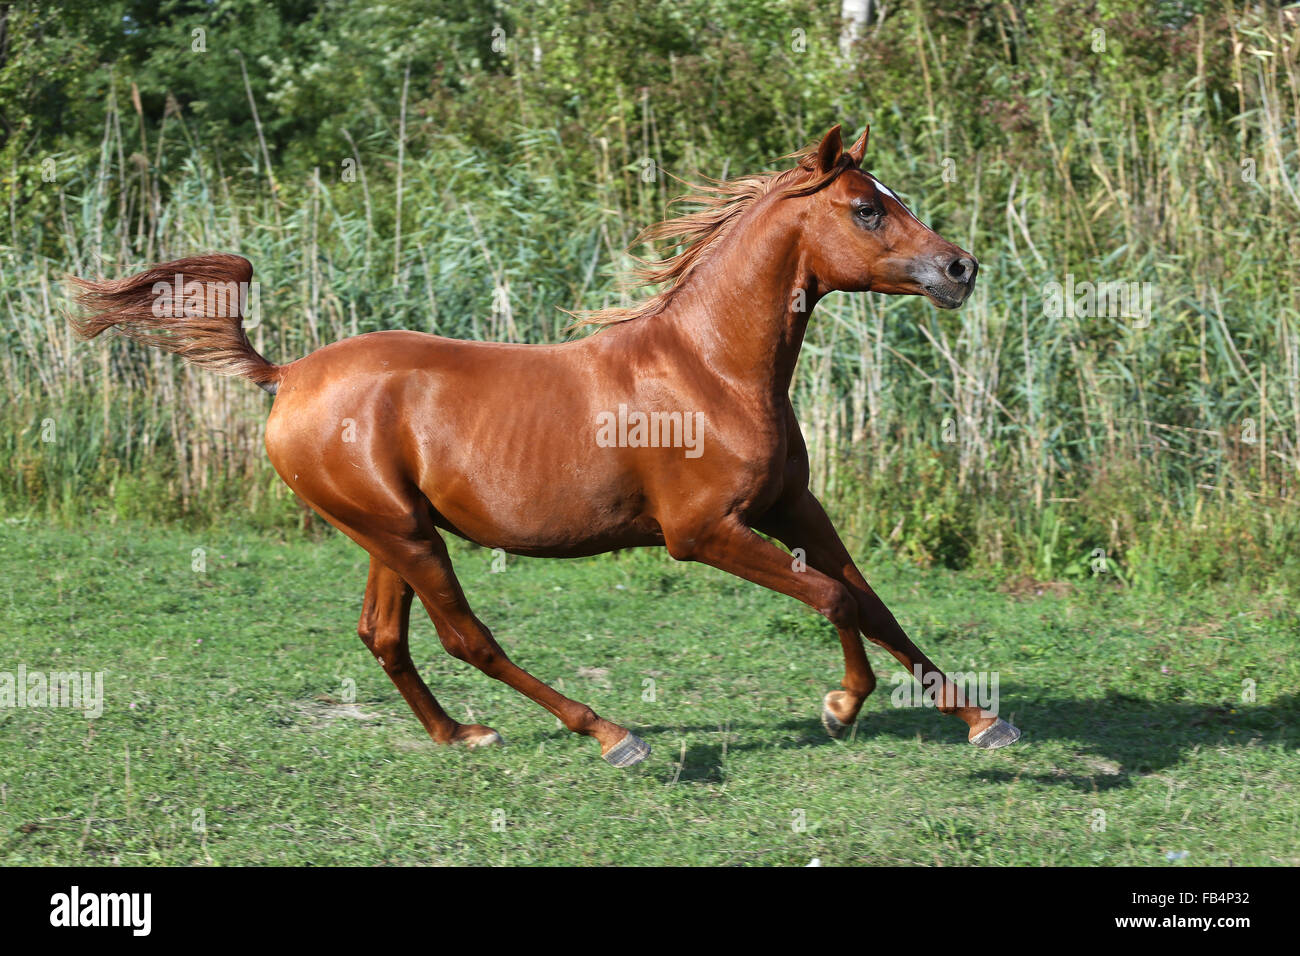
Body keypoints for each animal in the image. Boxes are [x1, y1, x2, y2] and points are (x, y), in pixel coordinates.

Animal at [69, 124, 1019, 768]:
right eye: (867, 208)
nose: (961, 269)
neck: (709, 370)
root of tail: (289, 374)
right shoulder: (703, 533)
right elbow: (834, 598)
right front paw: (840, 707)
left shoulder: (793, 506)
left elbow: (870, 599)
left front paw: (983, 719)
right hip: (403, 533)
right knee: (464, 637)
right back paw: (610, 734)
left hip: (391, 531)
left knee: (385, 635)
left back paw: (460, 734)